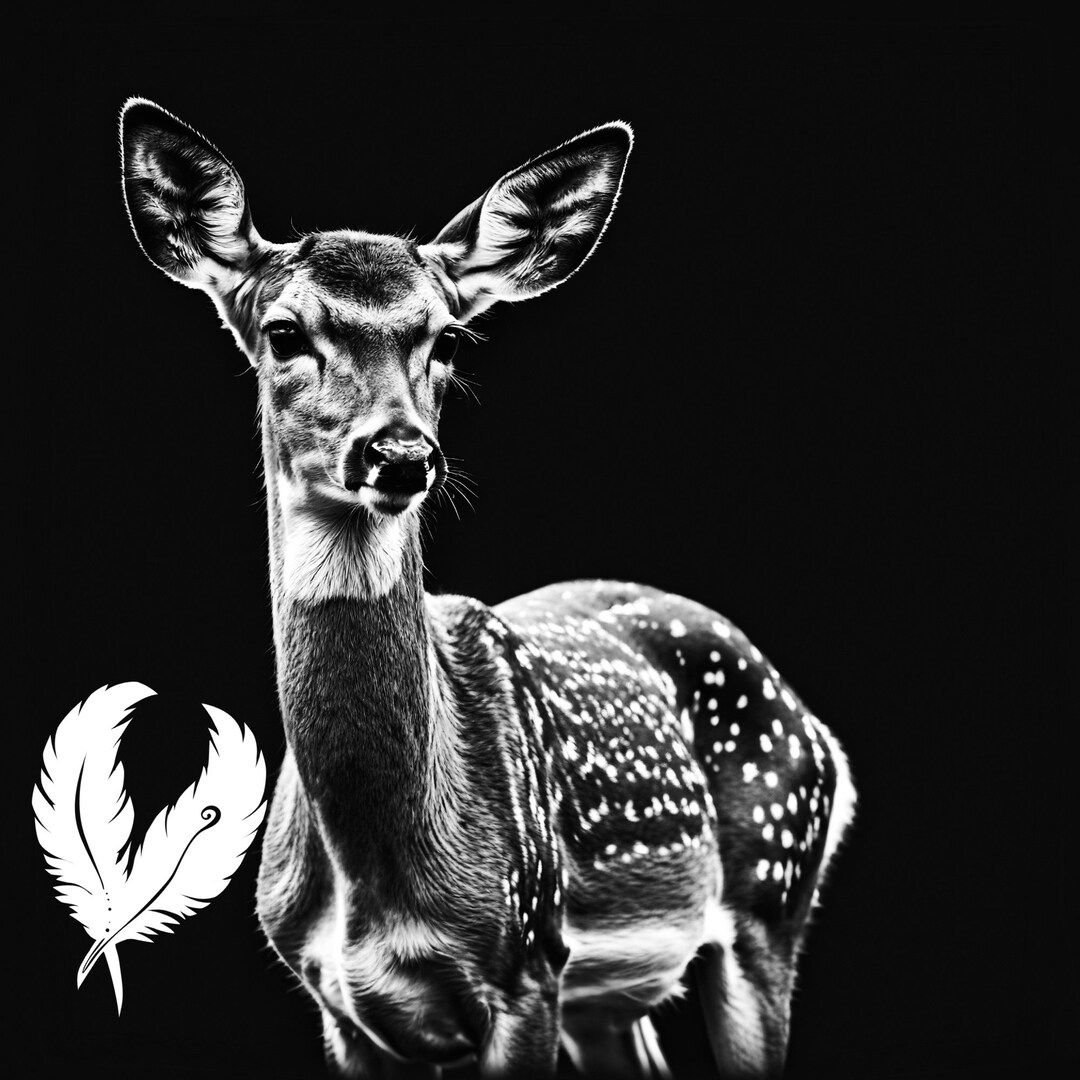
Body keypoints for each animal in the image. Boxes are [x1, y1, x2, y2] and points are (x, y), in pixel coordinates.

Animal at [119, 98, 855, 1079]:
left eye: (446, 336)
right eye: (284, 333)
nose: (400, 453)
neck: (379, 868)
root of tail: (817, 731)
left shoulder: (527, 961)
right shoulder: (336, 1003)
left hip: (773, 893)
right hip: (613, 1002)